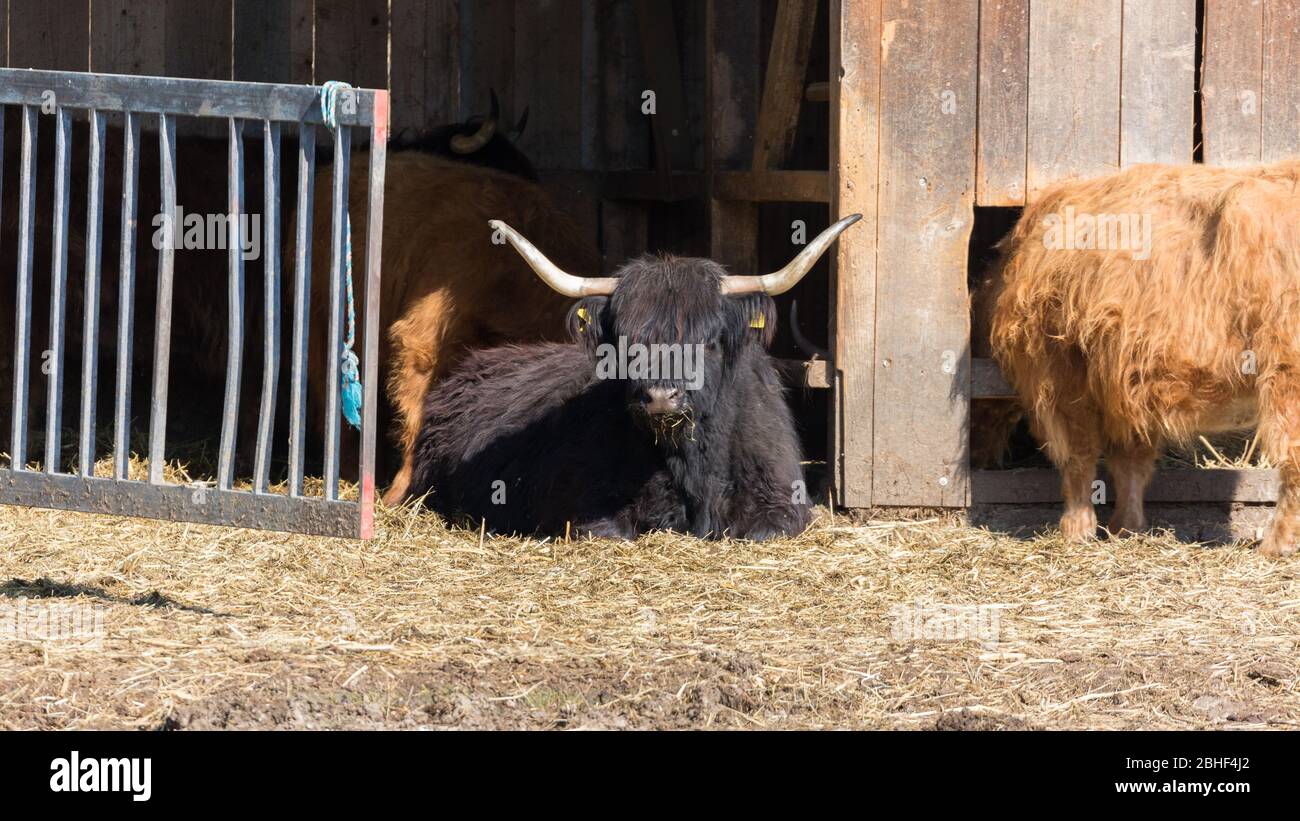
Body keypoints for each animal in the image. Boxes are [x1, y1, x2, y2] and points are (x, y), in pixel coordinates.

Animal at [985, 157, 1300, 556]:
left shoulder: (1061, 377)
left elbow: (1078, 457)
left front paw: (1076, 531)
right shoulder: (1125, 389)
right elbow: (1130, 463)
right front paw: (1125, 527)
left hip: (1286, 374)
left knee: (1293, 459)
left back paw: (1275, 546)